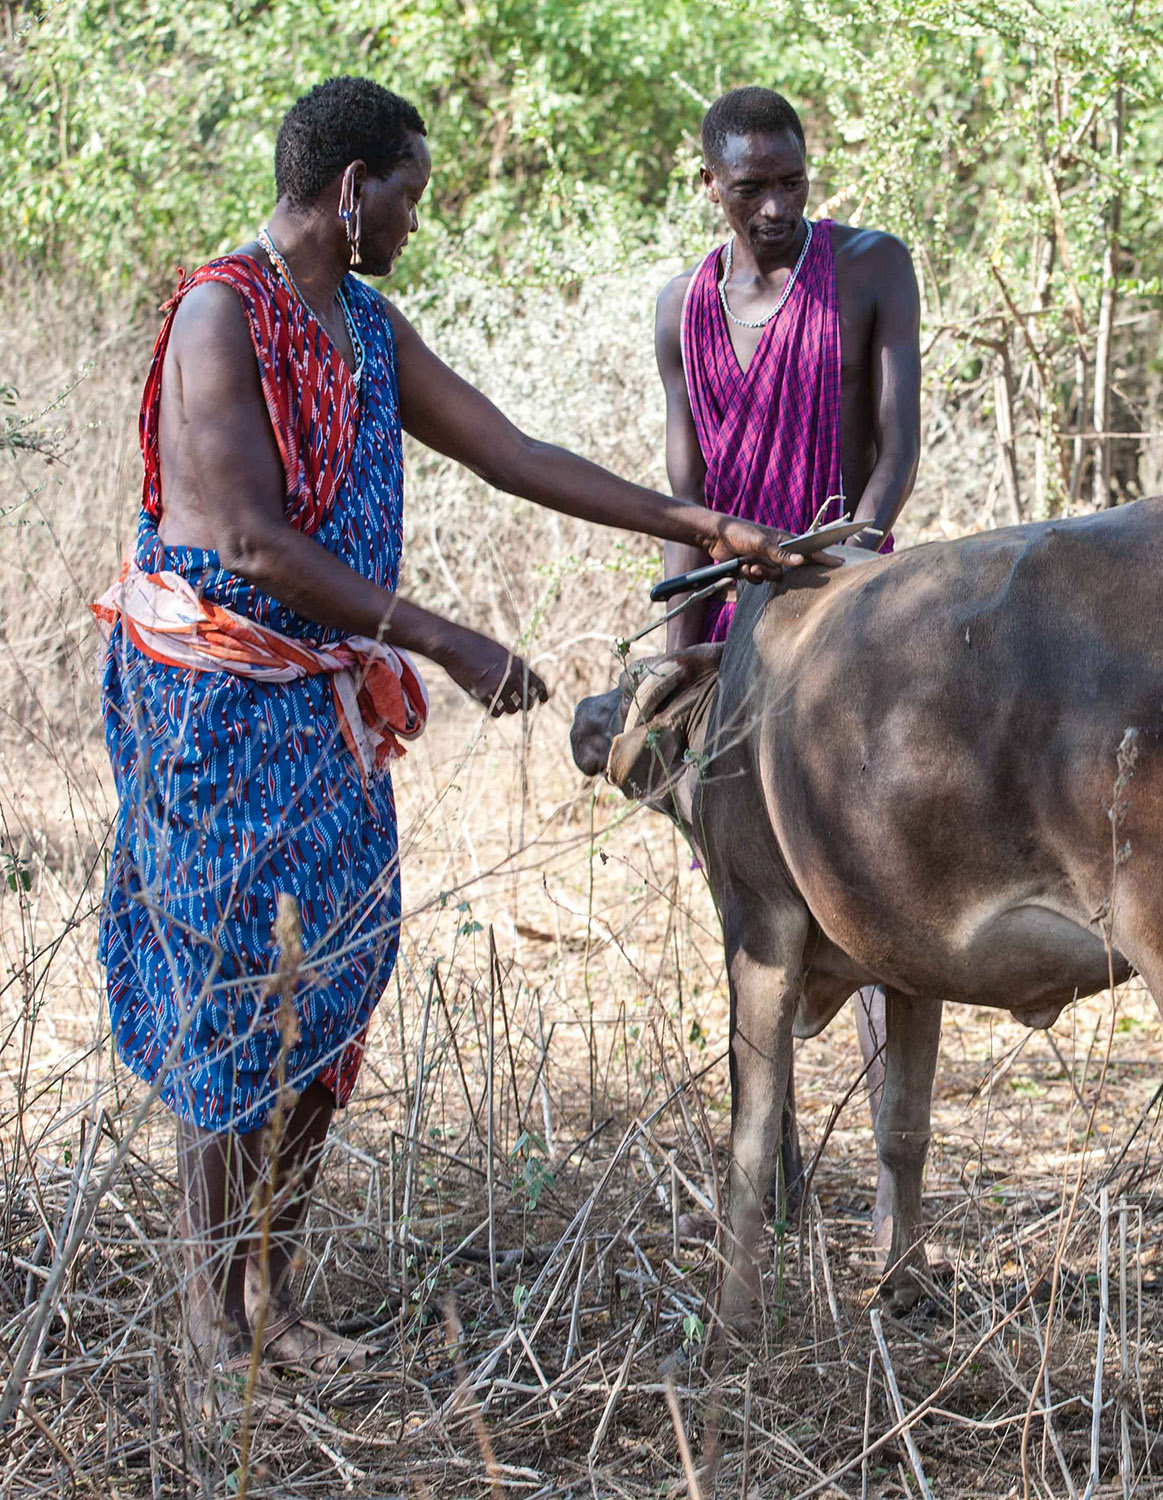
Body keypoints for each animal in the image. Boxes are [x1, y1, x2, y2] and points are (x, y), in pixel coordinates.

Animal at [571, 499, 1163, 1331]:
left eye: (628, 680)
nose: (579, 715)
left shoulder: (758, 922)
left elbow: (752, 1134)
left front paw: (733, 1313)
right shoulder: (913, 962)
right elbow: (900, 1125)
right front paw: (903, 1278)